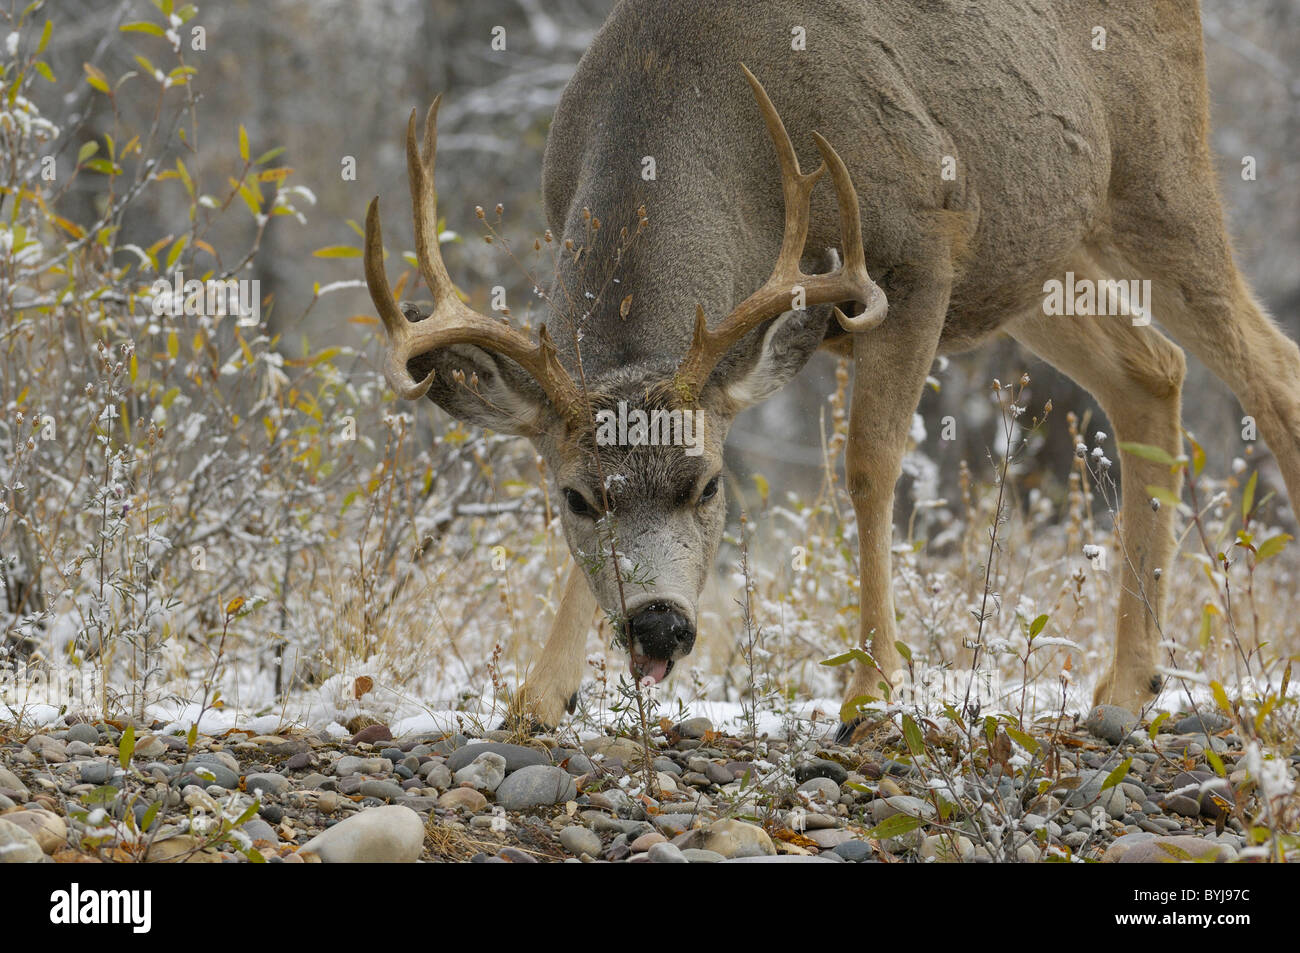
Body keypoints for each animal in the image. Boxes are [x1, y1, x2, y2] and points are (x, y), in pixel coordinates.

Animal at [362, 0, 1300, 737]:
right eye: (576, 499)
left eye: (709, 485)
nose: (660, 627)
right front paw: (538, 694)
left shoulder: (922, 245)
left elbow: (869, 465)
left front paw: (871, 691)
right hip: (1035, 258)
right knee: (1153, 371)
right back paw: (1125, 687)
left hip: (1159, 177)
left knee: (1271, 369)